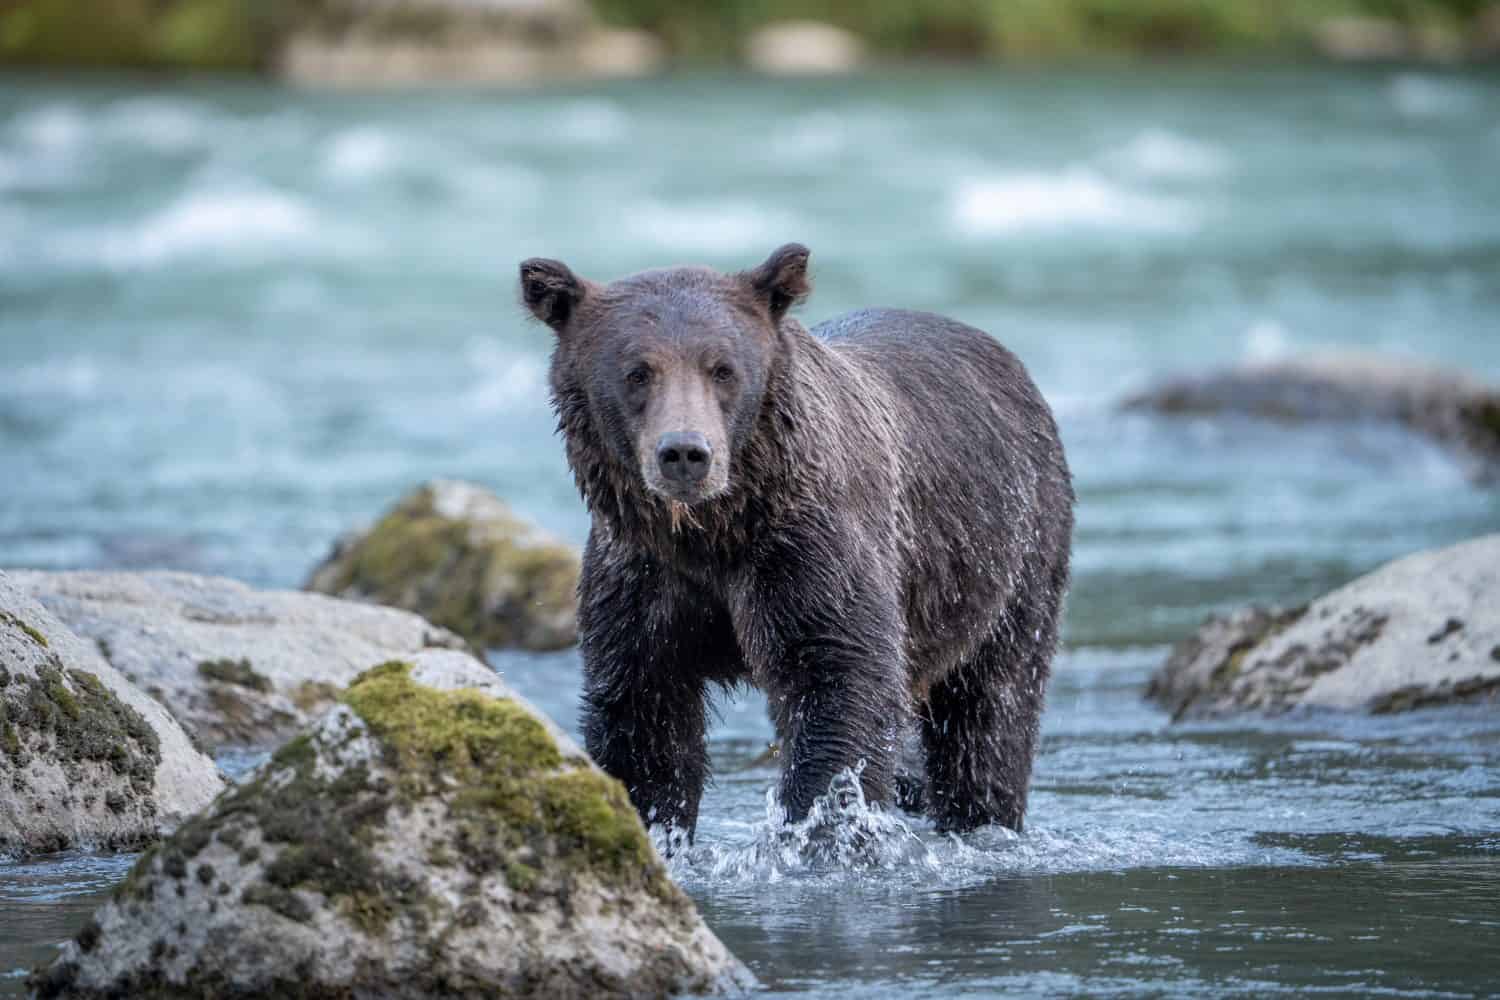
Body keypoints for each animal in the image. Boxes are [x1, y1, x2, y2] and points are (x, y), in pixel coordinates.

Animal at [519, 243, 1073, 838]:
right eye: (637, 371)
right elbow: (643, 720)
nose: (685, 453)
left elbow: (842, 684)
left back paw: (981, 812)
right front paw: (653, 825)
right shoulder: (641, 574)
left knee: (990, 710)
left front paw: (818, 824)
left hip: (1010, 552)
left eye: (723, 369)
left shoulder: (808, 551)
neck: (714, 533)